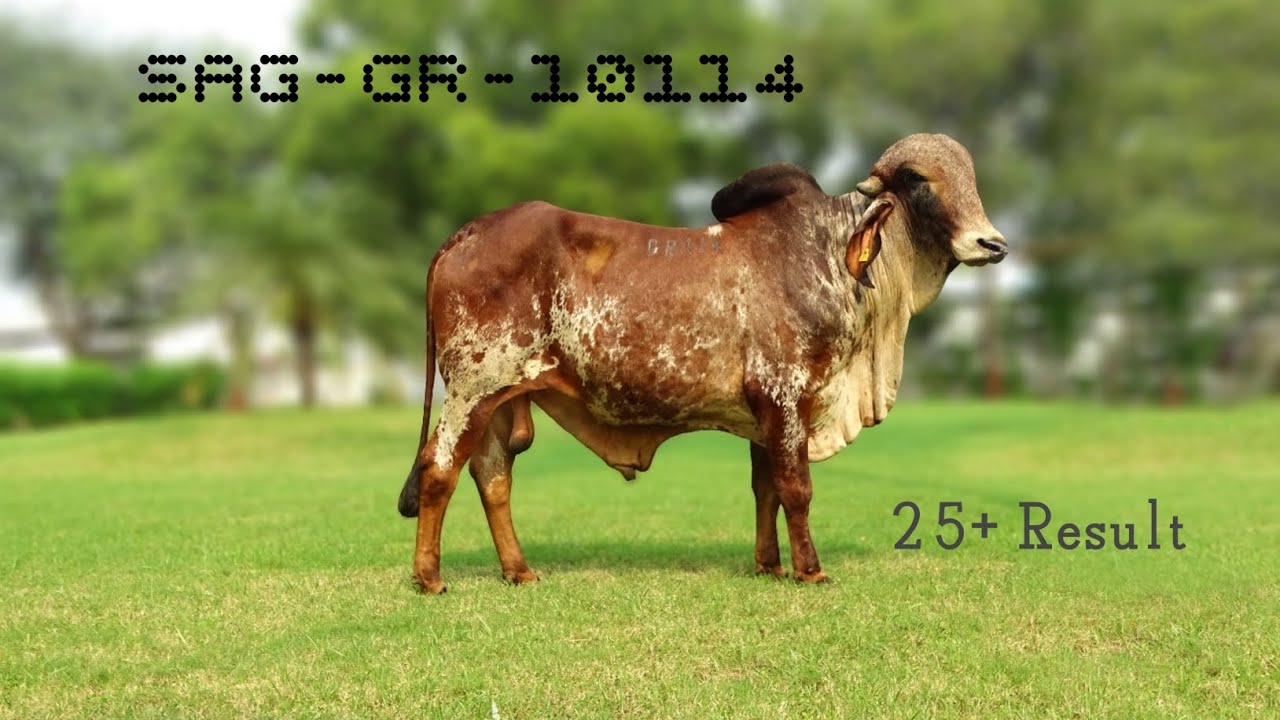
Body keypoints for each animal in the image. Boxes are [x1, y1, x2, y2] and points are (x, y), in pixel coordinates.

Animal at [397, 133, 1007, 593]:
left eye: (971, 178)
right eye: (921, 181)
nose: (992, 243)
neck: (836, 256)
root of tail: (463, 234)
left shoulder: (764, 418)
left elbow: (766, 488)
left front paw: (769, 565)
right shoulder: (786, 397)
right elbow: (797, 490)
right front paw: (809, 571)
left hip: (502, 399)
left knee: (493, 475)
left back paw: (518, 571)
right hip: (474, 388)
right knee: (439, 469)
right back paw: (429, 578)